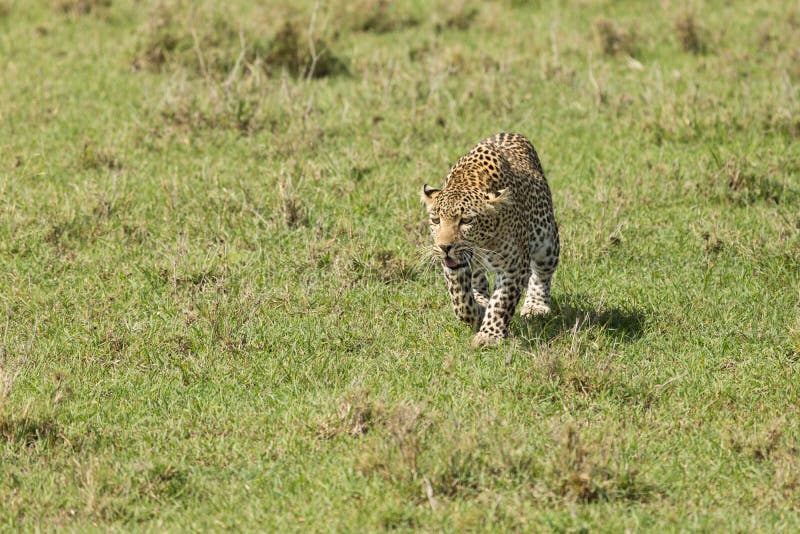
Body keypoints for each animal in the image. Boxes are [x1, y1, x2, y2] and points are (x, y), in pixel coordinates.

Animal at [421, 132, 560, 347]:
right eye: (436, 220)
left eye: (466, 220)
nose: (444, 247)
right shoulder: (455, 267)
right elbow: (460, 300)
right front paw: (476, 313)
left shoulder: (514, 266)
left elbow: (501, 302)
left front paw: (489, 335)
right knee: (478, 279)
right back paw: (481, 299)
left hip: (548, 244)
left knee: (542, 273)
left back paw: (535, 306)